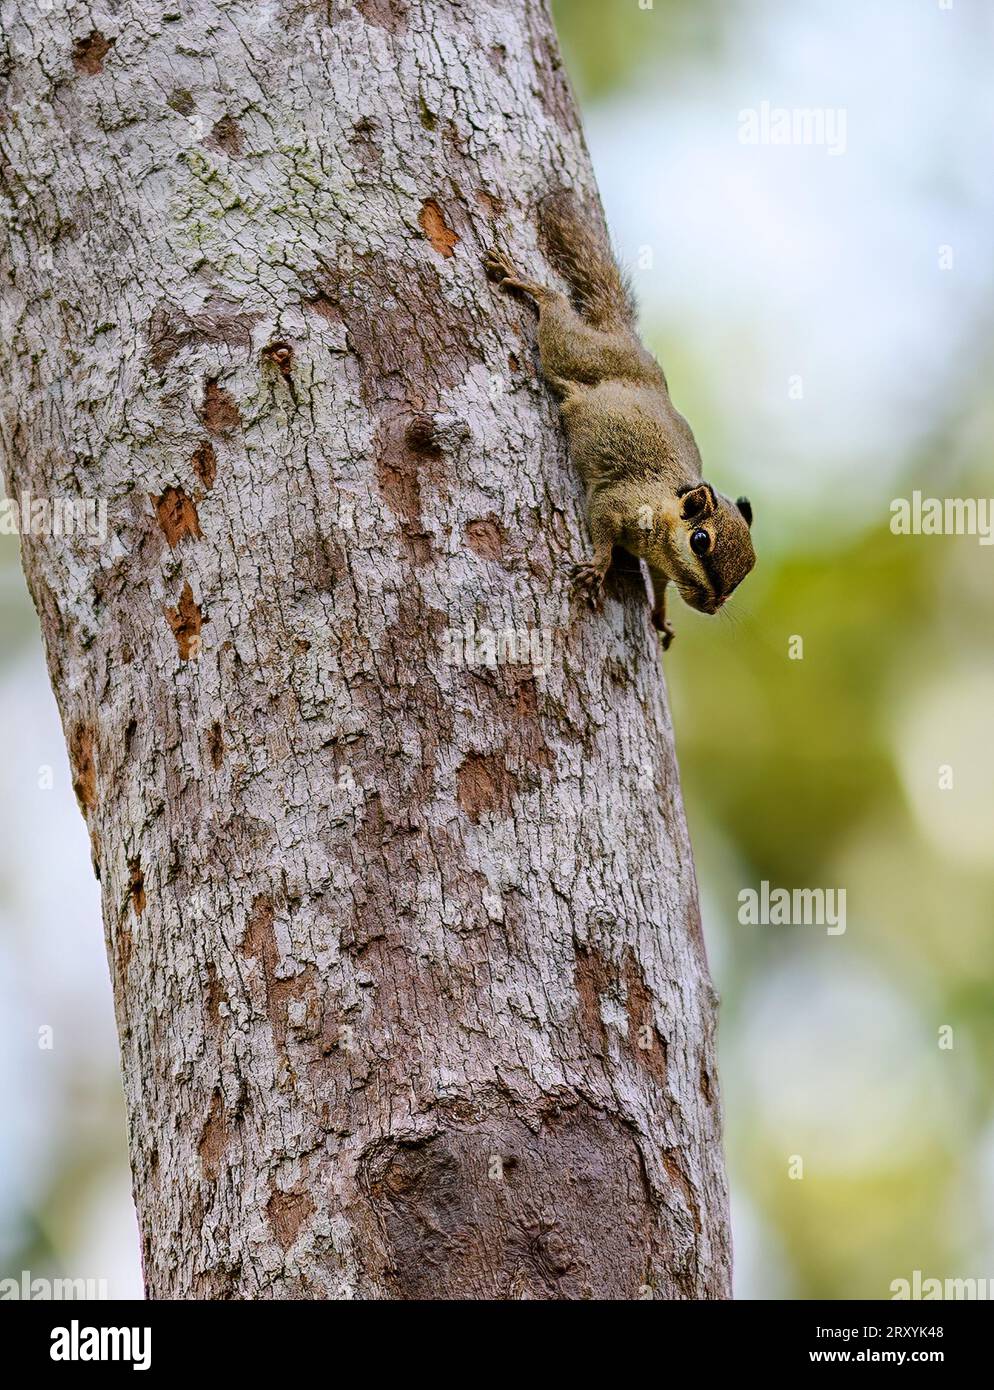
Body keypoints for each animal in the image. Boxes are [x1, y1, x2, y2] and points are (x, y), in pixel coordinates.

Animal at [485, 190, 755, 649]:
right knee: (558, 318)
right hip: (576, 352)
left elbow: (661, 588)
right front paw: (598, 565)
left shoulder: (661, 565)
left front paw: (662, 618)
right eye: (700, 541)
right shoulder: (620, 502)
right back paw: (531, 285)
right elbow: (603, 527)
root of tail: (621, 337)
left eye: (749, 565)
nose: (713, 605)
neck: (663, 506)